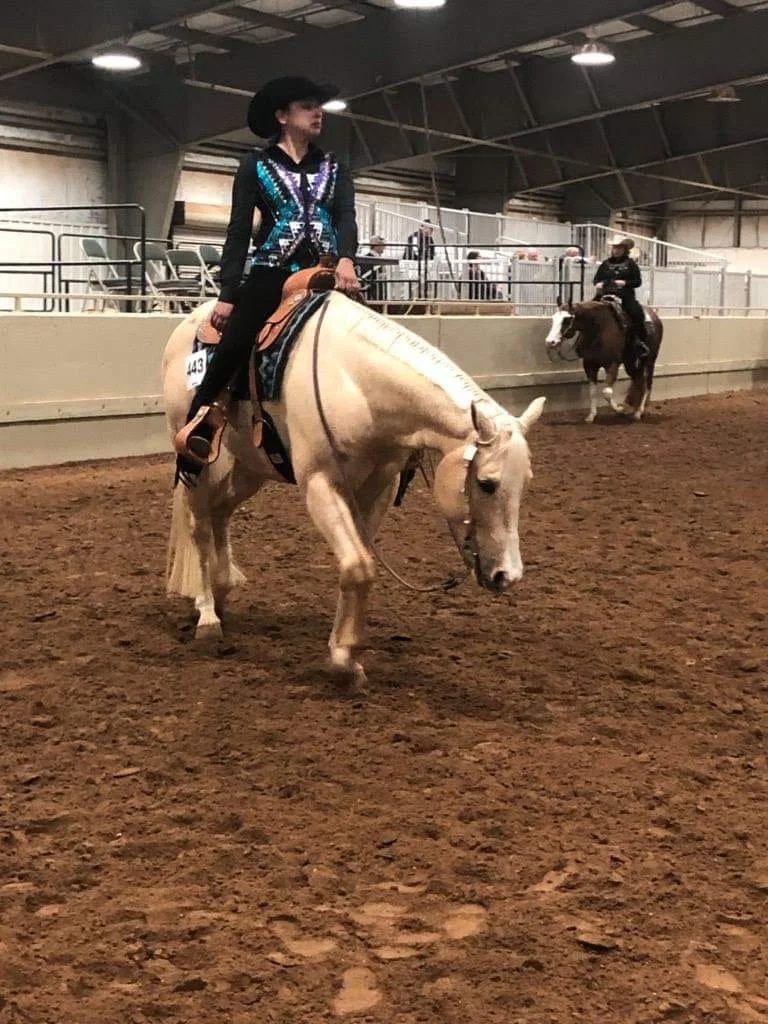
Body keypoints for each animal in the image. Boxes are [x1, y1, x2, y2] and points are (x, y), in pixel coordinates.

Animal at [162, 292, 546, 684]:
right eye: (486, 484)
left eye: (526, 483)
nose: (507, 575)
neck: (357, 385)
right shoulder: (320, 484)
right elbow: (358, 565)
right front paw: (344, 660)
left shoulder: (378, 487)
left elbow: (359, 563)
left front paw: (345, 649)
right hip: (199, 462)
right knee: (199, 525)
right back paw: (208, 615)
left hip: (250, 468)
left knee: (221, 512)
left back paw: (222, 591)